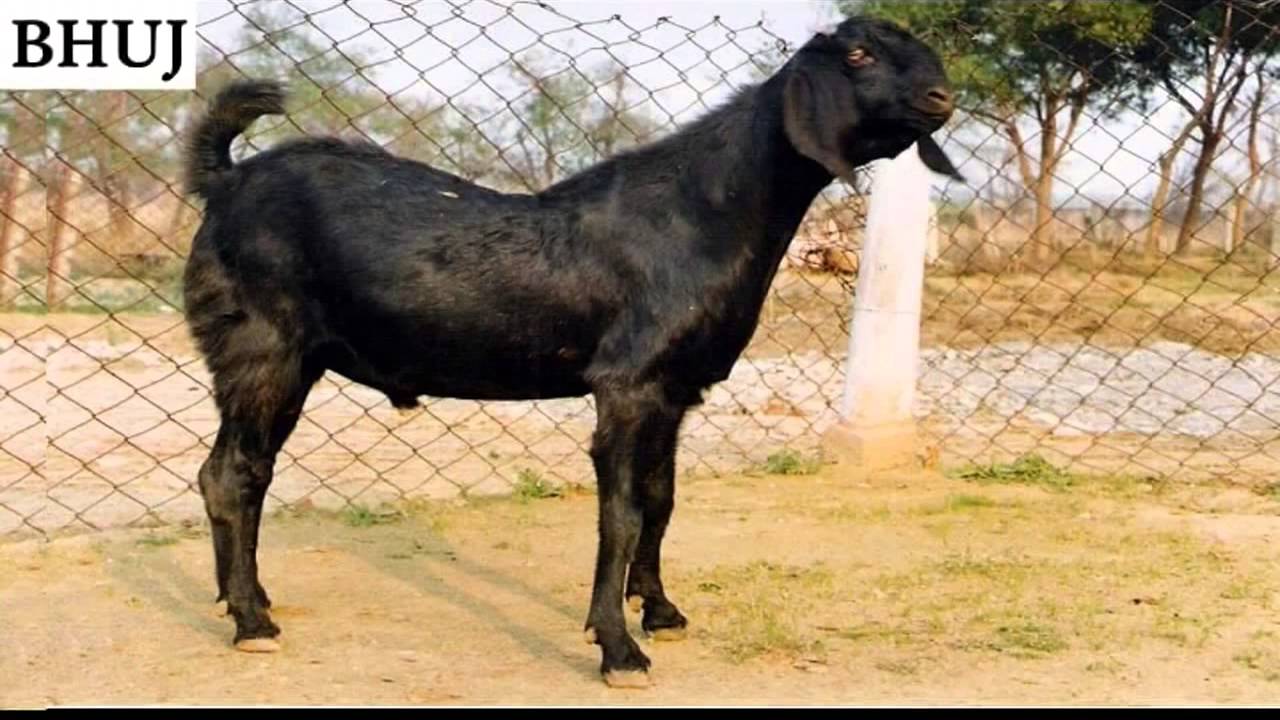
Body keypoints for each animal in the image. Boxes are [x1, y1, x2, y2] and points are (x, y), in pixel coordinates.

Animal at [181, 15, 960, 687]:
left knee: (249, 473)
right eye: (857, 55)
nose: (942, 98)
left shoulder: (675, 392)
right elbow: (621, 512)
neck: (704, 212)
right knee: (230, 474)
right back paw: (250, 620)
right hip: (262, 348)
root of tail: (227, 179)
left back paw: (251, 600)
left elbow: (661, 499)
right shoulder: (627, 385)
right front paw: (618, 649)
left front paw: (660, 610)